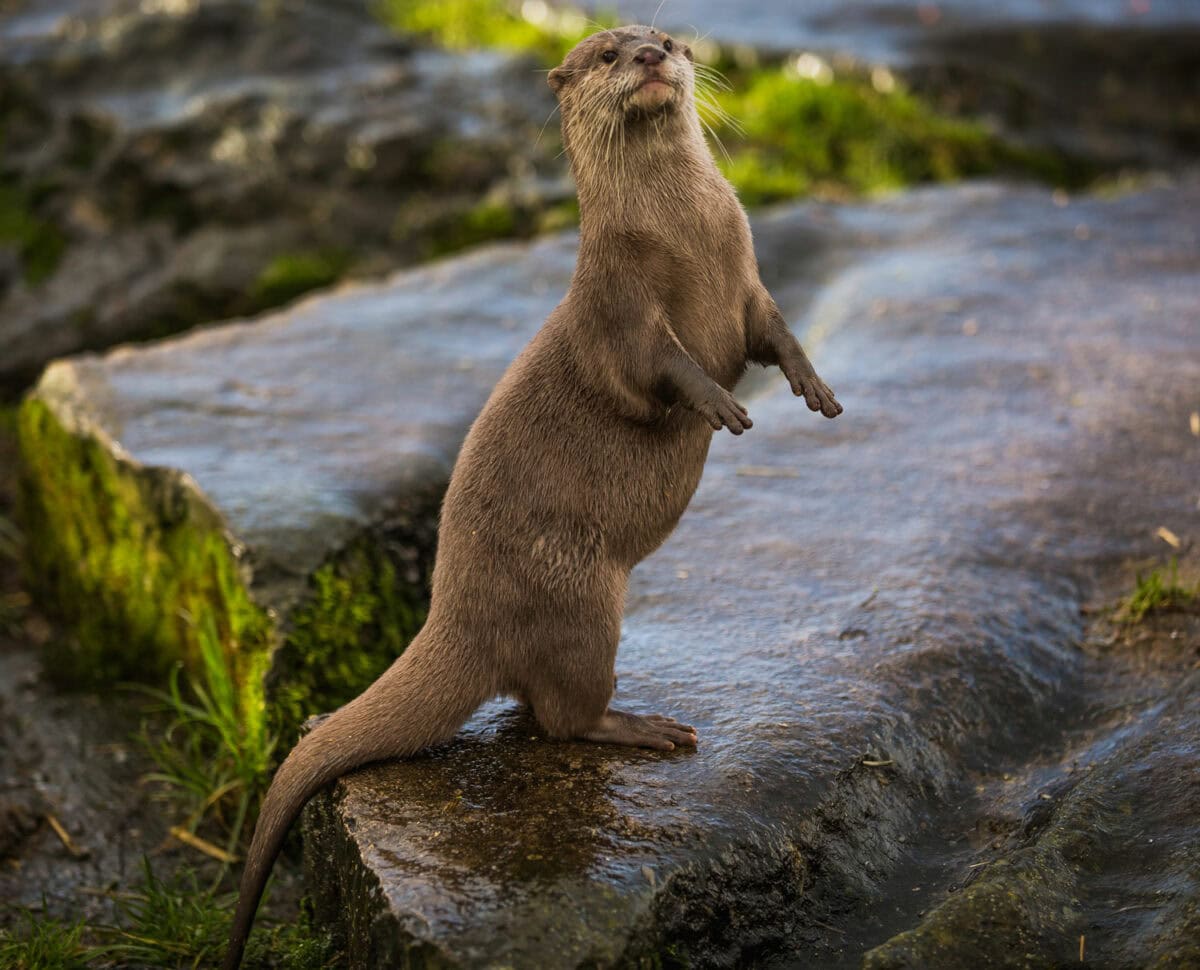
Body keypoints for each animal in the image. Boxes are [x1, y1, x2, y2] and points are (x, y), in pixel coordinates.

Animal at [223, 25, 840, 969]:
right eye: (608, 54)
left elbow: (773, 329)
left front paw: (811, 384)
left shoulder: (747, 269)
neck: (687, 237)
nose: (652, 56)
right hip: (582, 601)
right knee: (559, 714)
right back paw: (646, 726)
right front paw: (718, 402)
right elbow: (657, 366)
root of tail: (454, 614)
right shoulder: (619, 301)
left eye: (668, 39)